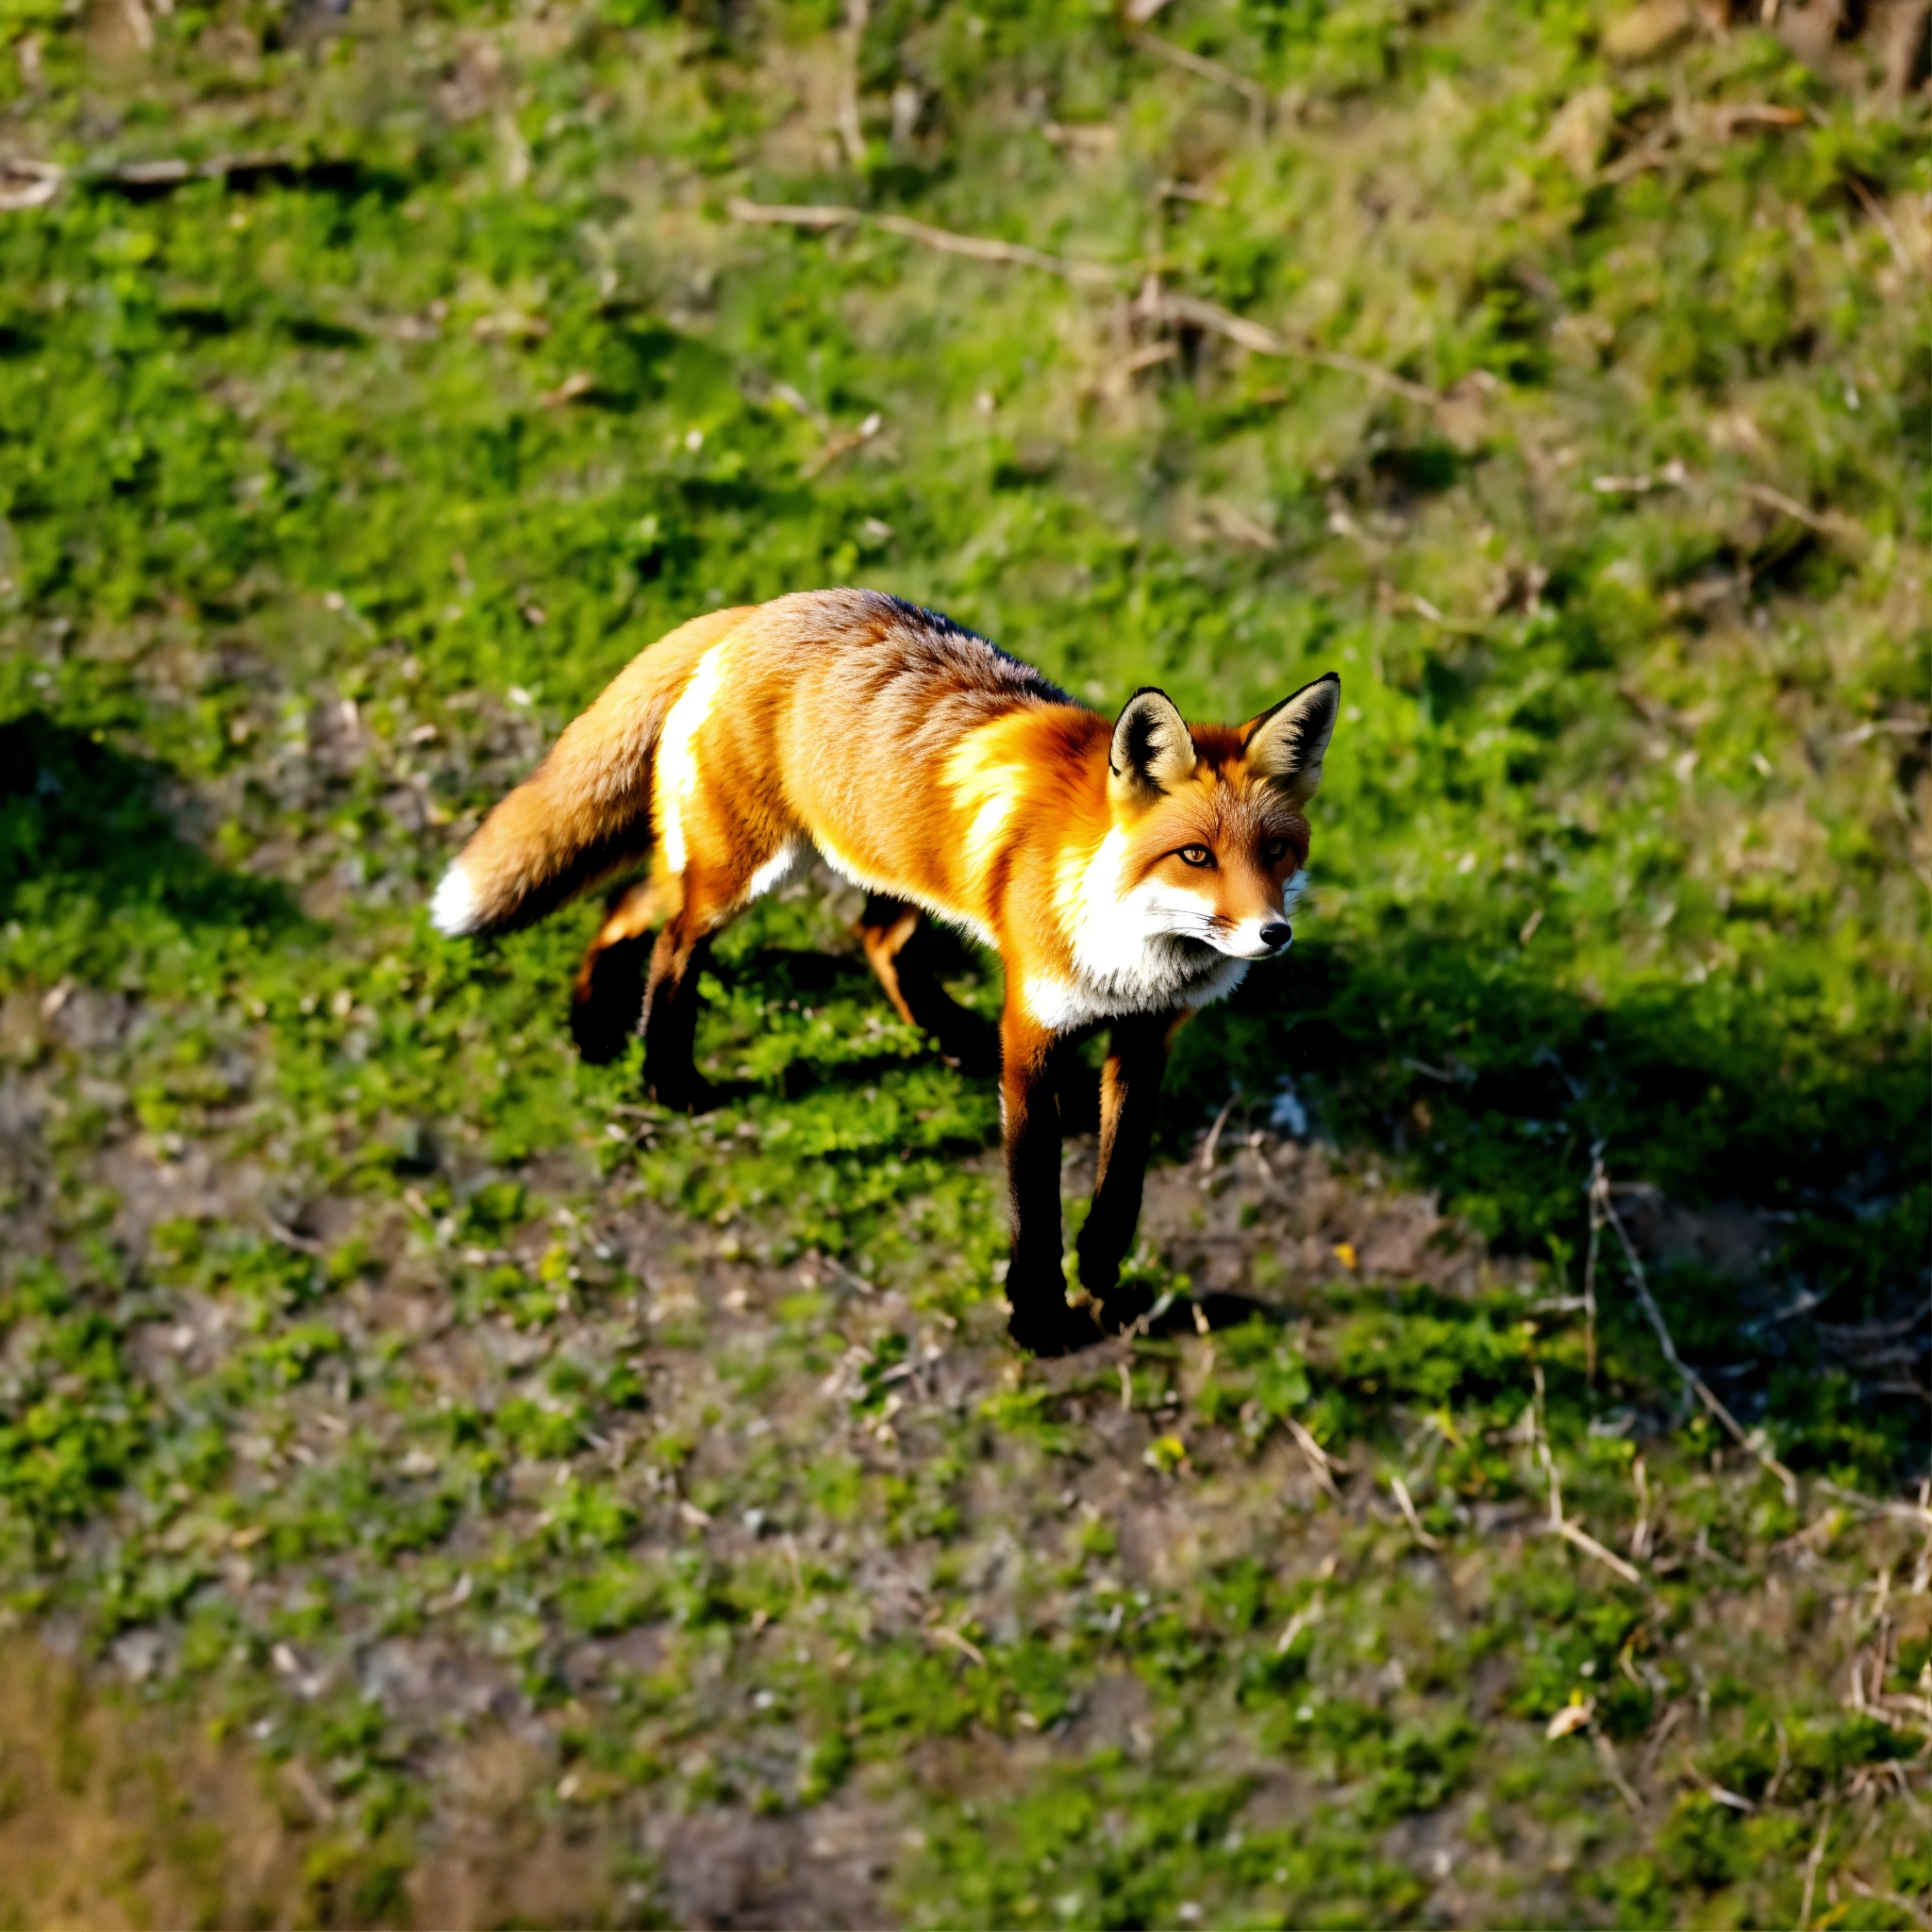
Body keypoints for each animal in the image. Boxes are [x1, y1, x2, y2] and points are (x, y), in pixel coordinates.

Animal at [431, 588, 1339, 1356]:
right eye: (1196, 856)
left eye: (1275, 852)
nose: (1273, 934)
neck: (1141, 959)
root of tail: (766, 606)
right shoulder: (1033, 1035)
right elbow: (1034, 1205)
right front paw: (1038, 1320)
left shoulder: (1146, 1043)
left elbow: (1118, 1195)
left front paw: (1106, 1289)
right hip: (748, 873)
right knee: (672, 940)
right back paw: (660, 1072)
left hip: (886, 871)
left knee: (753, 921)